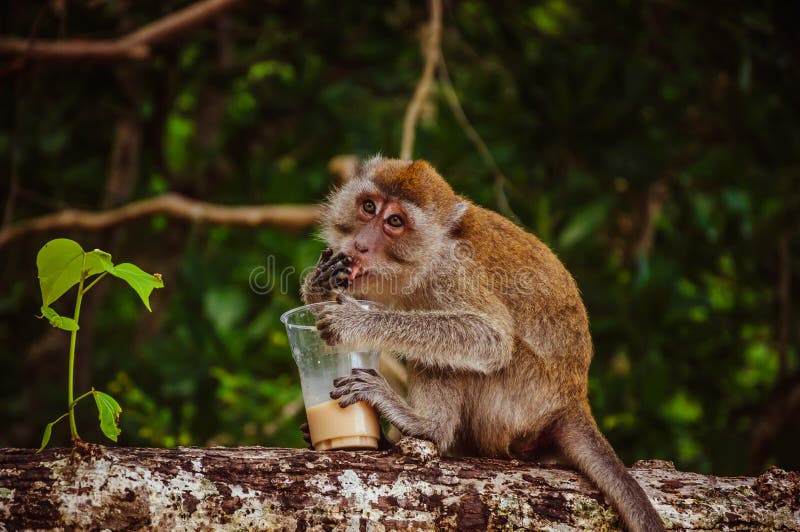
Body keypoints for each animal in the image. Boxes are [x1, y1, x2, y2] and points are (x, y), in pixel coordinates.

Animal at [300, 156, 665, 532]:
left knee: (451, 356)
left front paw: (355, 323)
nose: (360, 245)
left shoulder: (452, 271)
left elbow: (490, 339)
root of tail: (572, 399)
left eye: (395, 222)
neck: (424, 259)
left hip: (519, 398)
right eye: (369, 207)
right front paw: (319, 285)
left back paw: (426, 426)